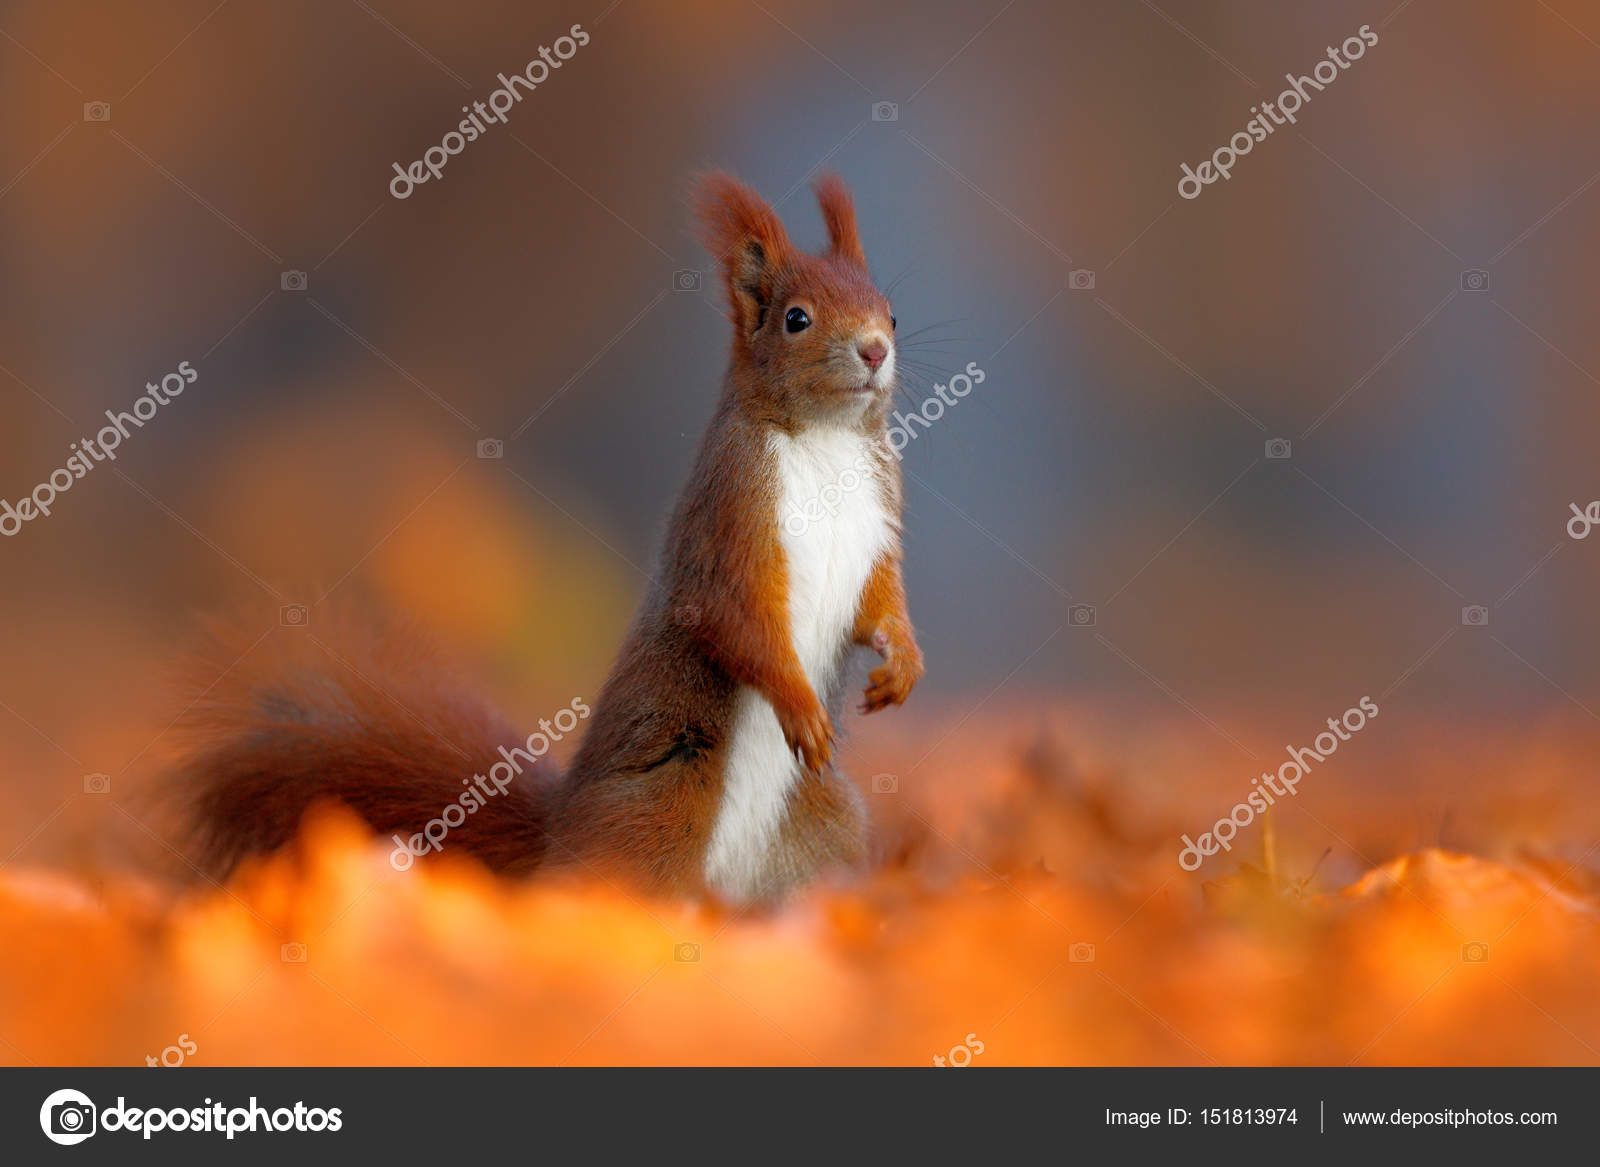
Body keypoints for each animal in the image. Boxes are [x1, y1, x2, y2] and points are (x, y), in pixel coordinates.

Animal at [173, 172, 923, 904]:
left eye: (891, 312)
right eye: (797, 318)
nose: (875, 349)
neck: (825, 440)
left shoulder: (878, 519)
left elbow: (879, 603)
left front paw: (903, 664)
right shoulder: (732, 517)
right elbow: (734, 618)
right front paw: (801, 706)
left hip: (823, 830)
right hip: (657, 812)